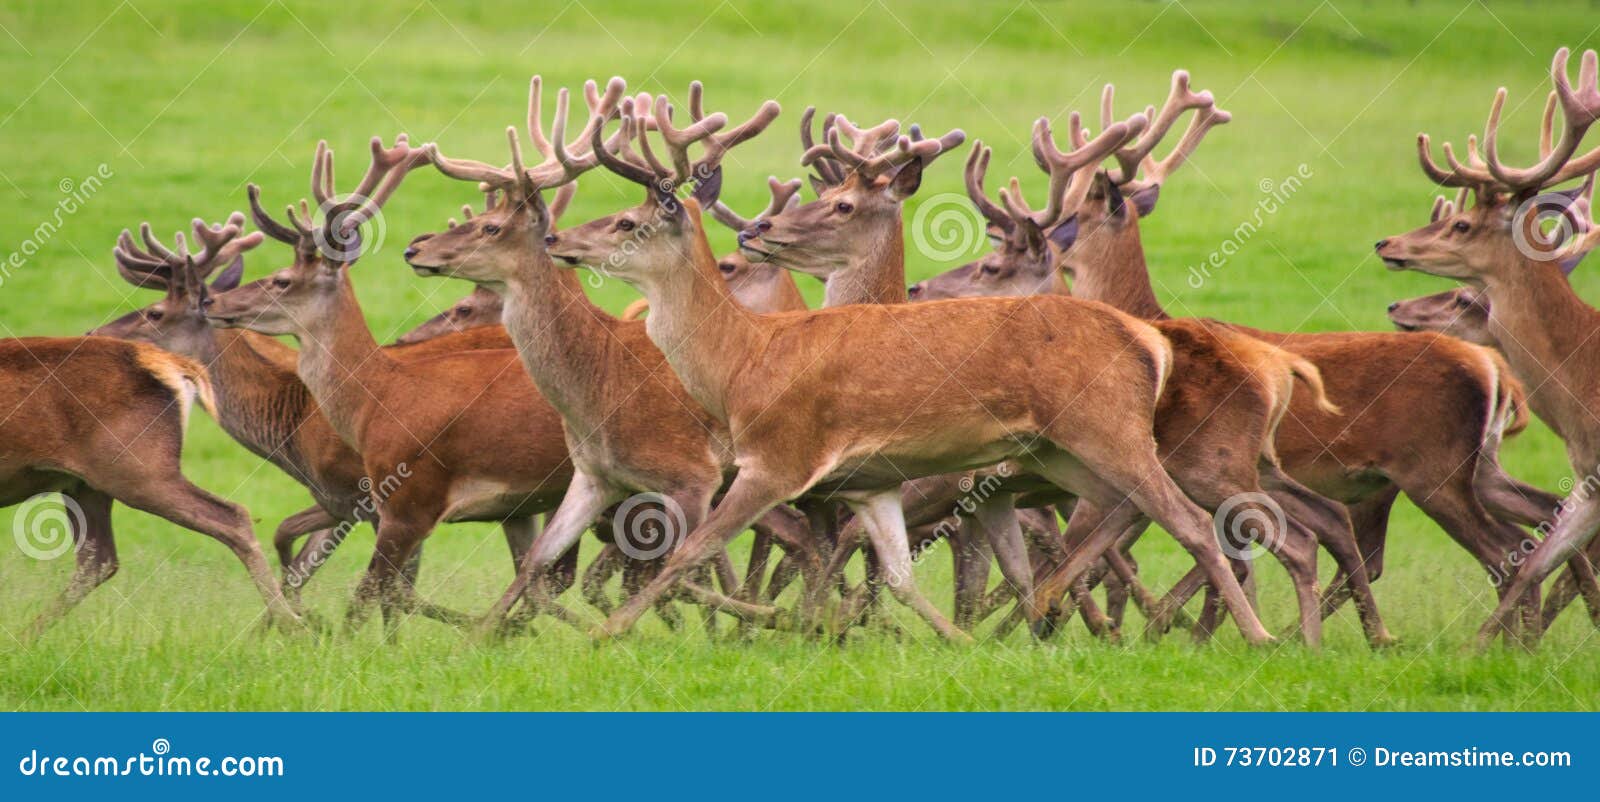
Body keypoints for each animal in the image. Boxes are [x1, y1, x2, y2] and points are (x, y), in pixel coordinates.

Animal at [2, 331, 299, 639]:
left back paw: (292, 626)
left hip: (139, 470)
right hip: (88, 484)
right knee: (98, 560)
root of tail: (175, 365)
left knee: (232, 516)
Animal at [402, 76, 822, 635]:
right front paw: (482, 635)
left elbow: (679, 567)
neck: (599, 387)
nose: (414, 249)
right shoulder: (595, 475)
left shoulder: (693, 474)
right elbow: (536, 563)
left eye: (491, 228)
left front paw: (758, 618)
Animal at [537, 86, 1275, 645]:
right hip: (1054, 456)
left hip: (1106, 428)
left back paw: (1258, 637)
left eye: (625, 221)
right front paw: (950, 643)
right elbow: (895, 574)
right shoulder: (870, 482)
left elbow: (689, 551)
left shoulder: (779, 456)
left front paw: (607, 635)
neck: (743, 364)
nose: (554, 238)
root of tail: (1148, 339)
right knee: (1127, 520)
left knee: (1191, 522)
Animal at [1043, 69, 1561, 641]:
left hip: (1432, 471)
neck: (1147, 314)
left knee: (1498, 549)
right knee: (1543, 518)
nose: (1036, 235)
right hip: (1475, 468)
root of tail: (1495, 372)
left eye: (1072, 215)